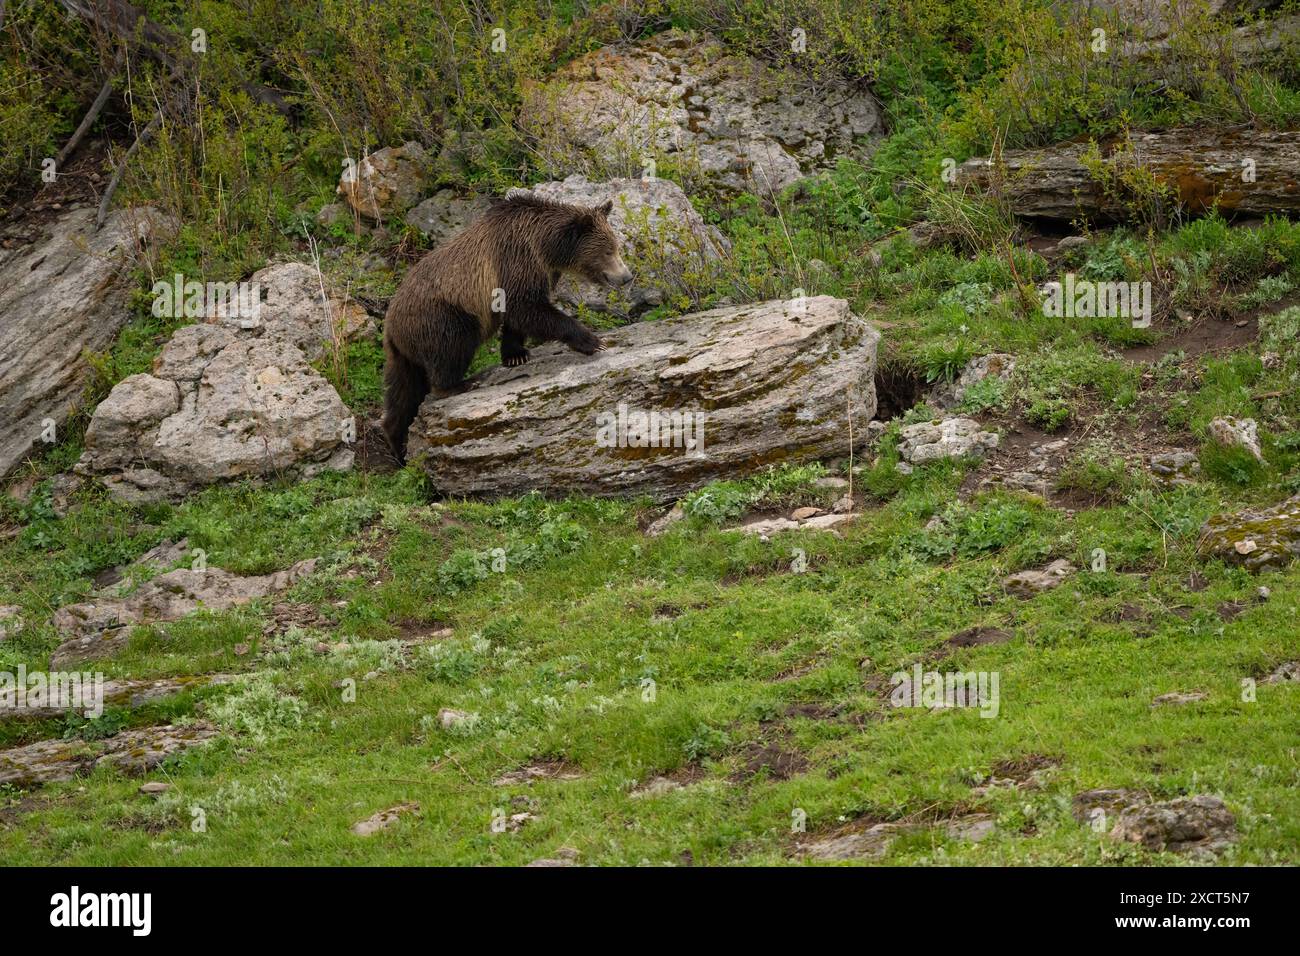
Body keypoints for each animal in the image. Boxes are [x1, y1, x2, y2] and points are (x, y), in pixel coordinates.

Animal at [380, 193, 633, 460]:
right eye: (608, 251)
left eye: (615, 247)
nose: (626, 276)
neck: (546, 247)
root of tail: (391, 324)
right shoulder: (516, 257)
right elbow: (526, 308)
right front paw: (592, 341)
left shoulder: (539, 269)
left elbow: (519, 316)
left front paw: (515, 355)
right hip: (443, 315)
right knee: (451, 347)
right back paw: (460, 384)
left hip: (403, 352)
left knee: (404, 392)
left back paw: (397, 445)